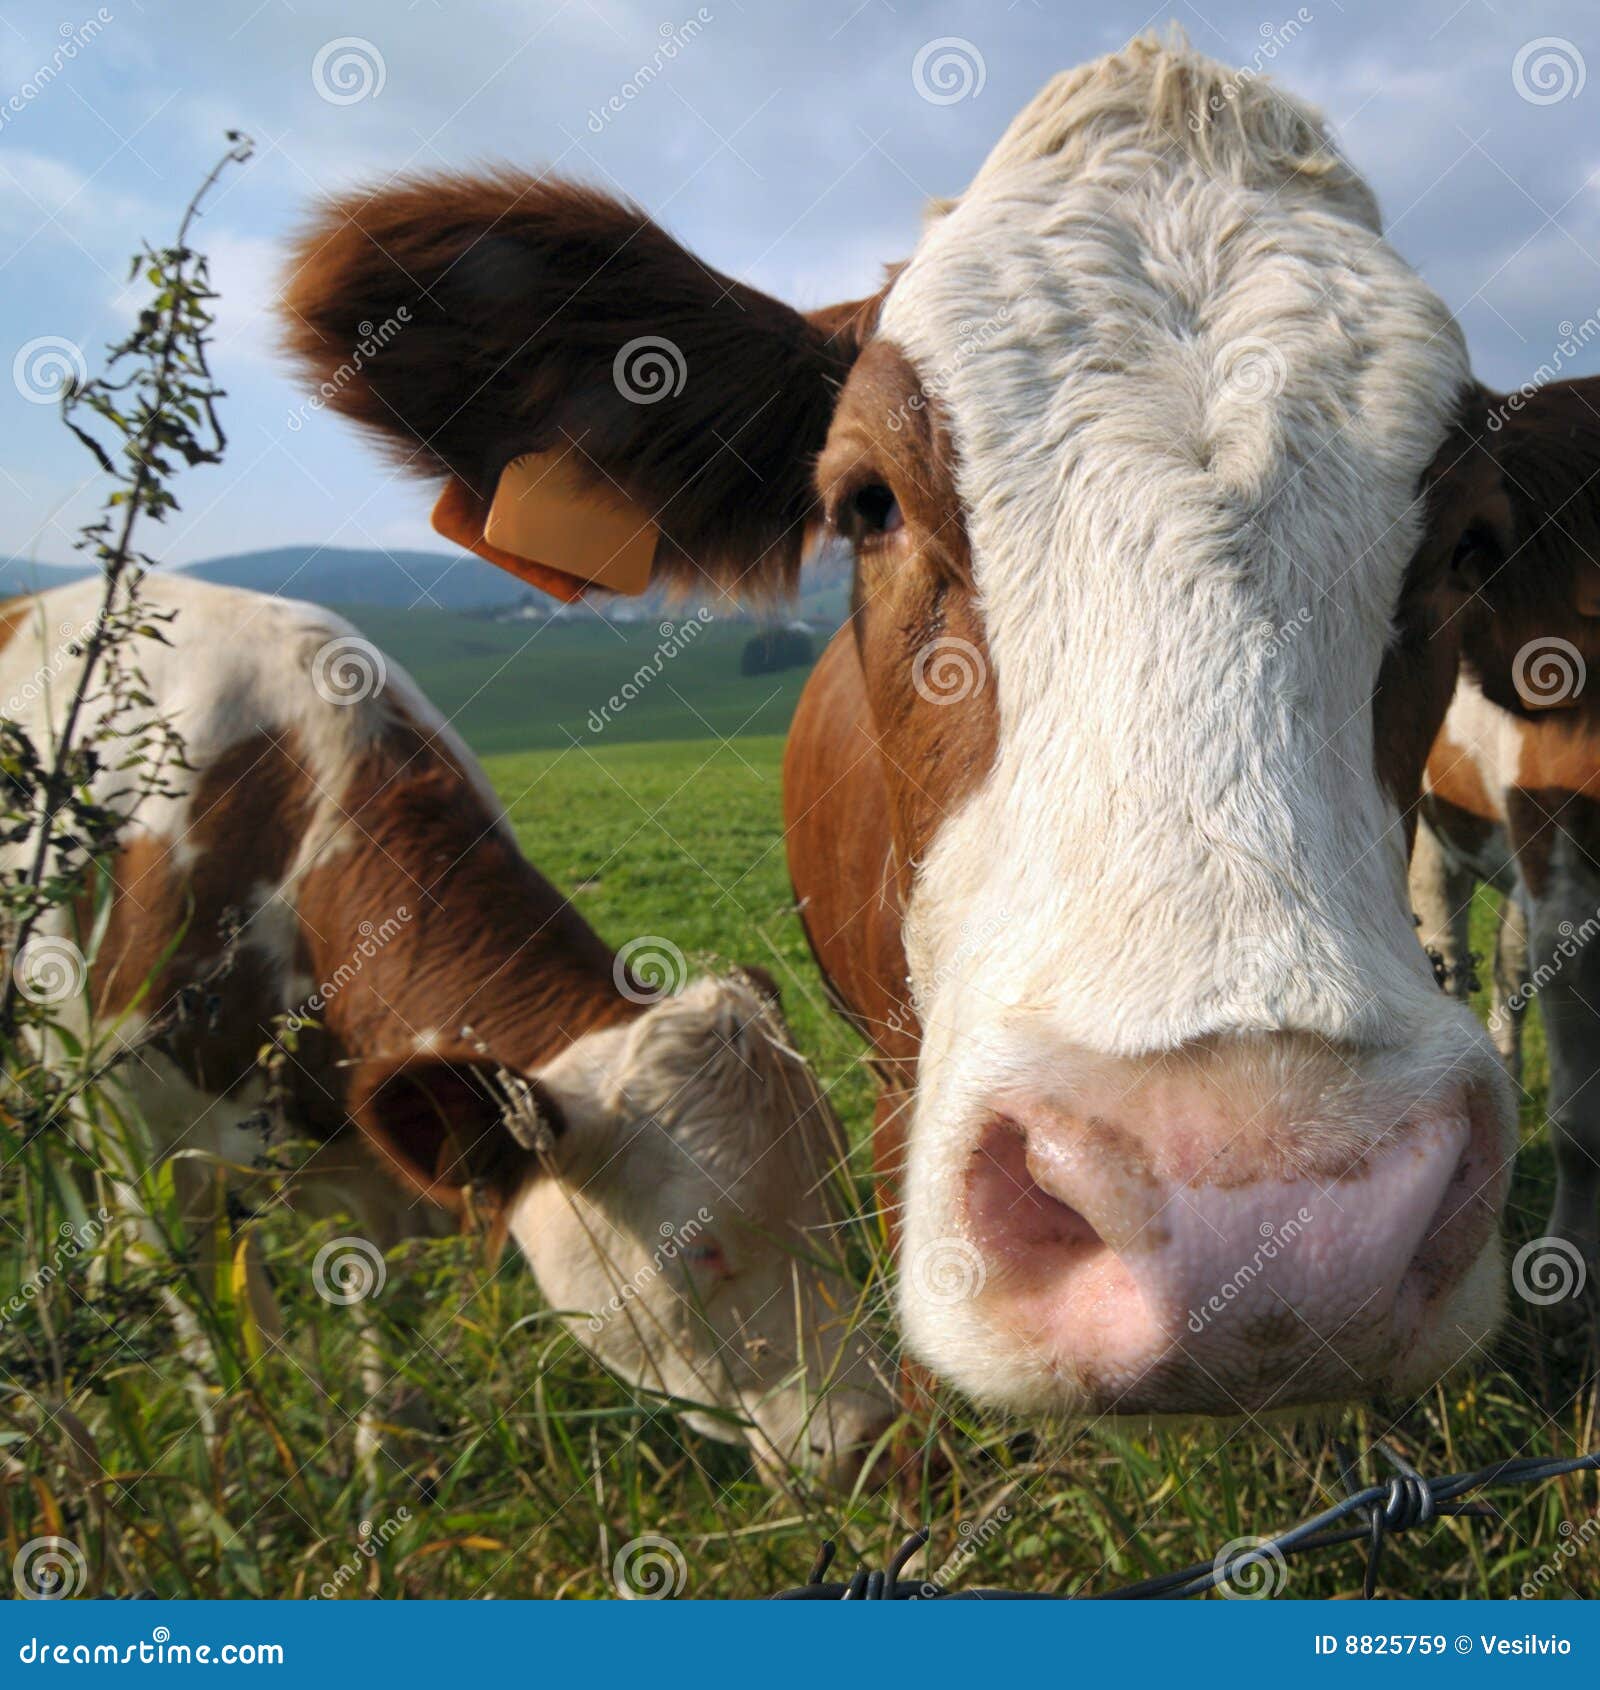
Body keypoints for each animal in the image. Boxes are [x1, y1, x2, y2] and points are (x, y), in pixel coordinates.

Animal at [0, 576, 893, 1489]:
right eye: (699, 1246)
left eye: (835, 1198)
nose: (874, 1436)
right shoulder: (142, 1153)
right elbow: (207, 1342)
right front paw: (242, 1477)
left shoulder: (379, 1163)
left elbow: (378, 1310)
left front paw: (390, 1466)